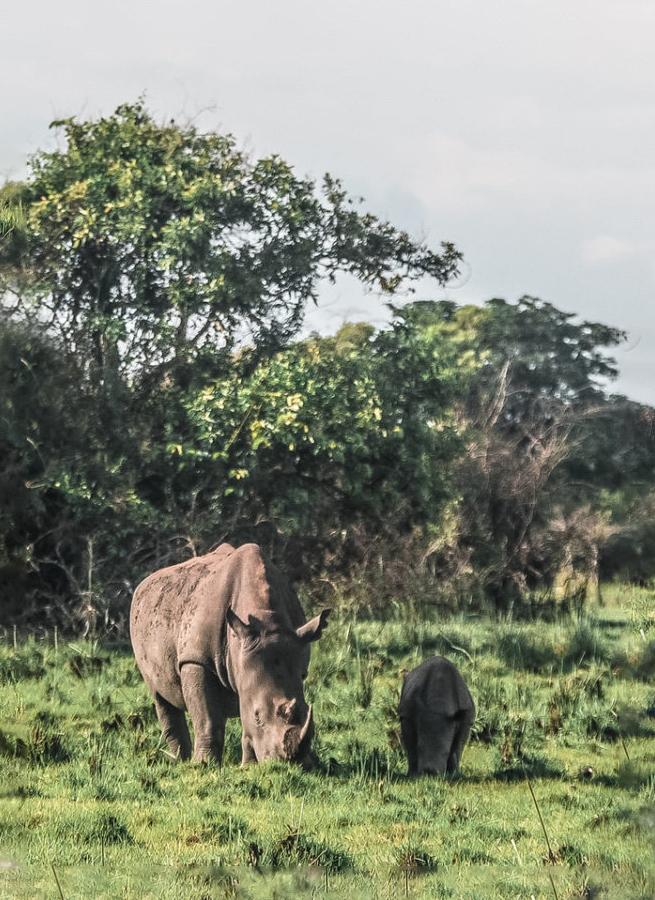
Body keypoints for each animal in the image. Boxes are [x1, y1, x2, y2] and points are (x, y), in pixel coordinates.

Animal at [130, 543, 330, 766]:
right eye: (258, 716)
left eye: (306, 710)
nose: (290, 764)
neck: (267, 619)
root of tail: (143, 584)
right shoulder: (196, 660)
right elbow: (207, 718)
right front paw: (203, 764)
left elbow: (244, 720)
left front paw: (248, 765)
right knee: (161, 697)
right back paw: (180, 761)